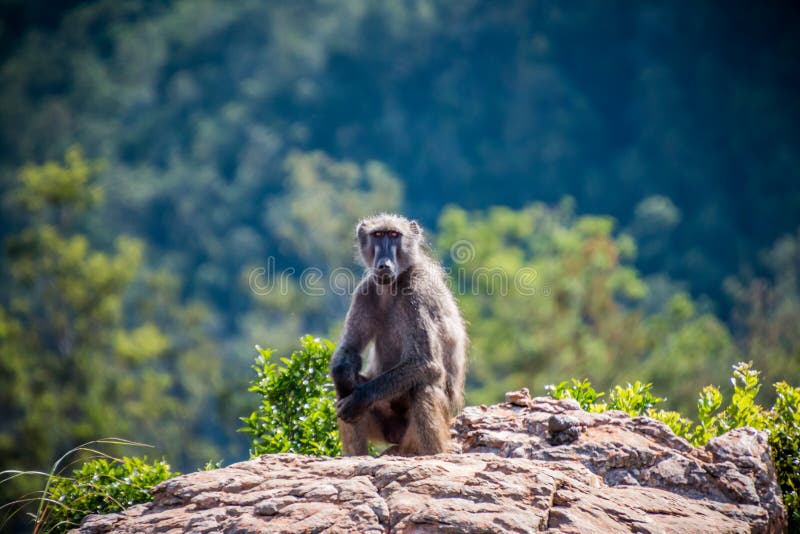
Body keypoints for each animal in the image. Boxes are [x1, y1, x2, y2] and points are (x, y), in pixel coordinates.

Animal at [330, 213, 468, 456]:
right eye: (378, 234)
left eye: (394, 235)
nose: (384, 265)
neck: (391, 286)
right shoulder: (365, 290)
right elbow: (350, 349)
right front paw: (343, 378)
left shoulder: (417, 292)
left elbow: (426, 363)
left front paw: (359, 397)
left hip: (420, 433)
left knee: (422, 388)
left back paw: (434, 454)